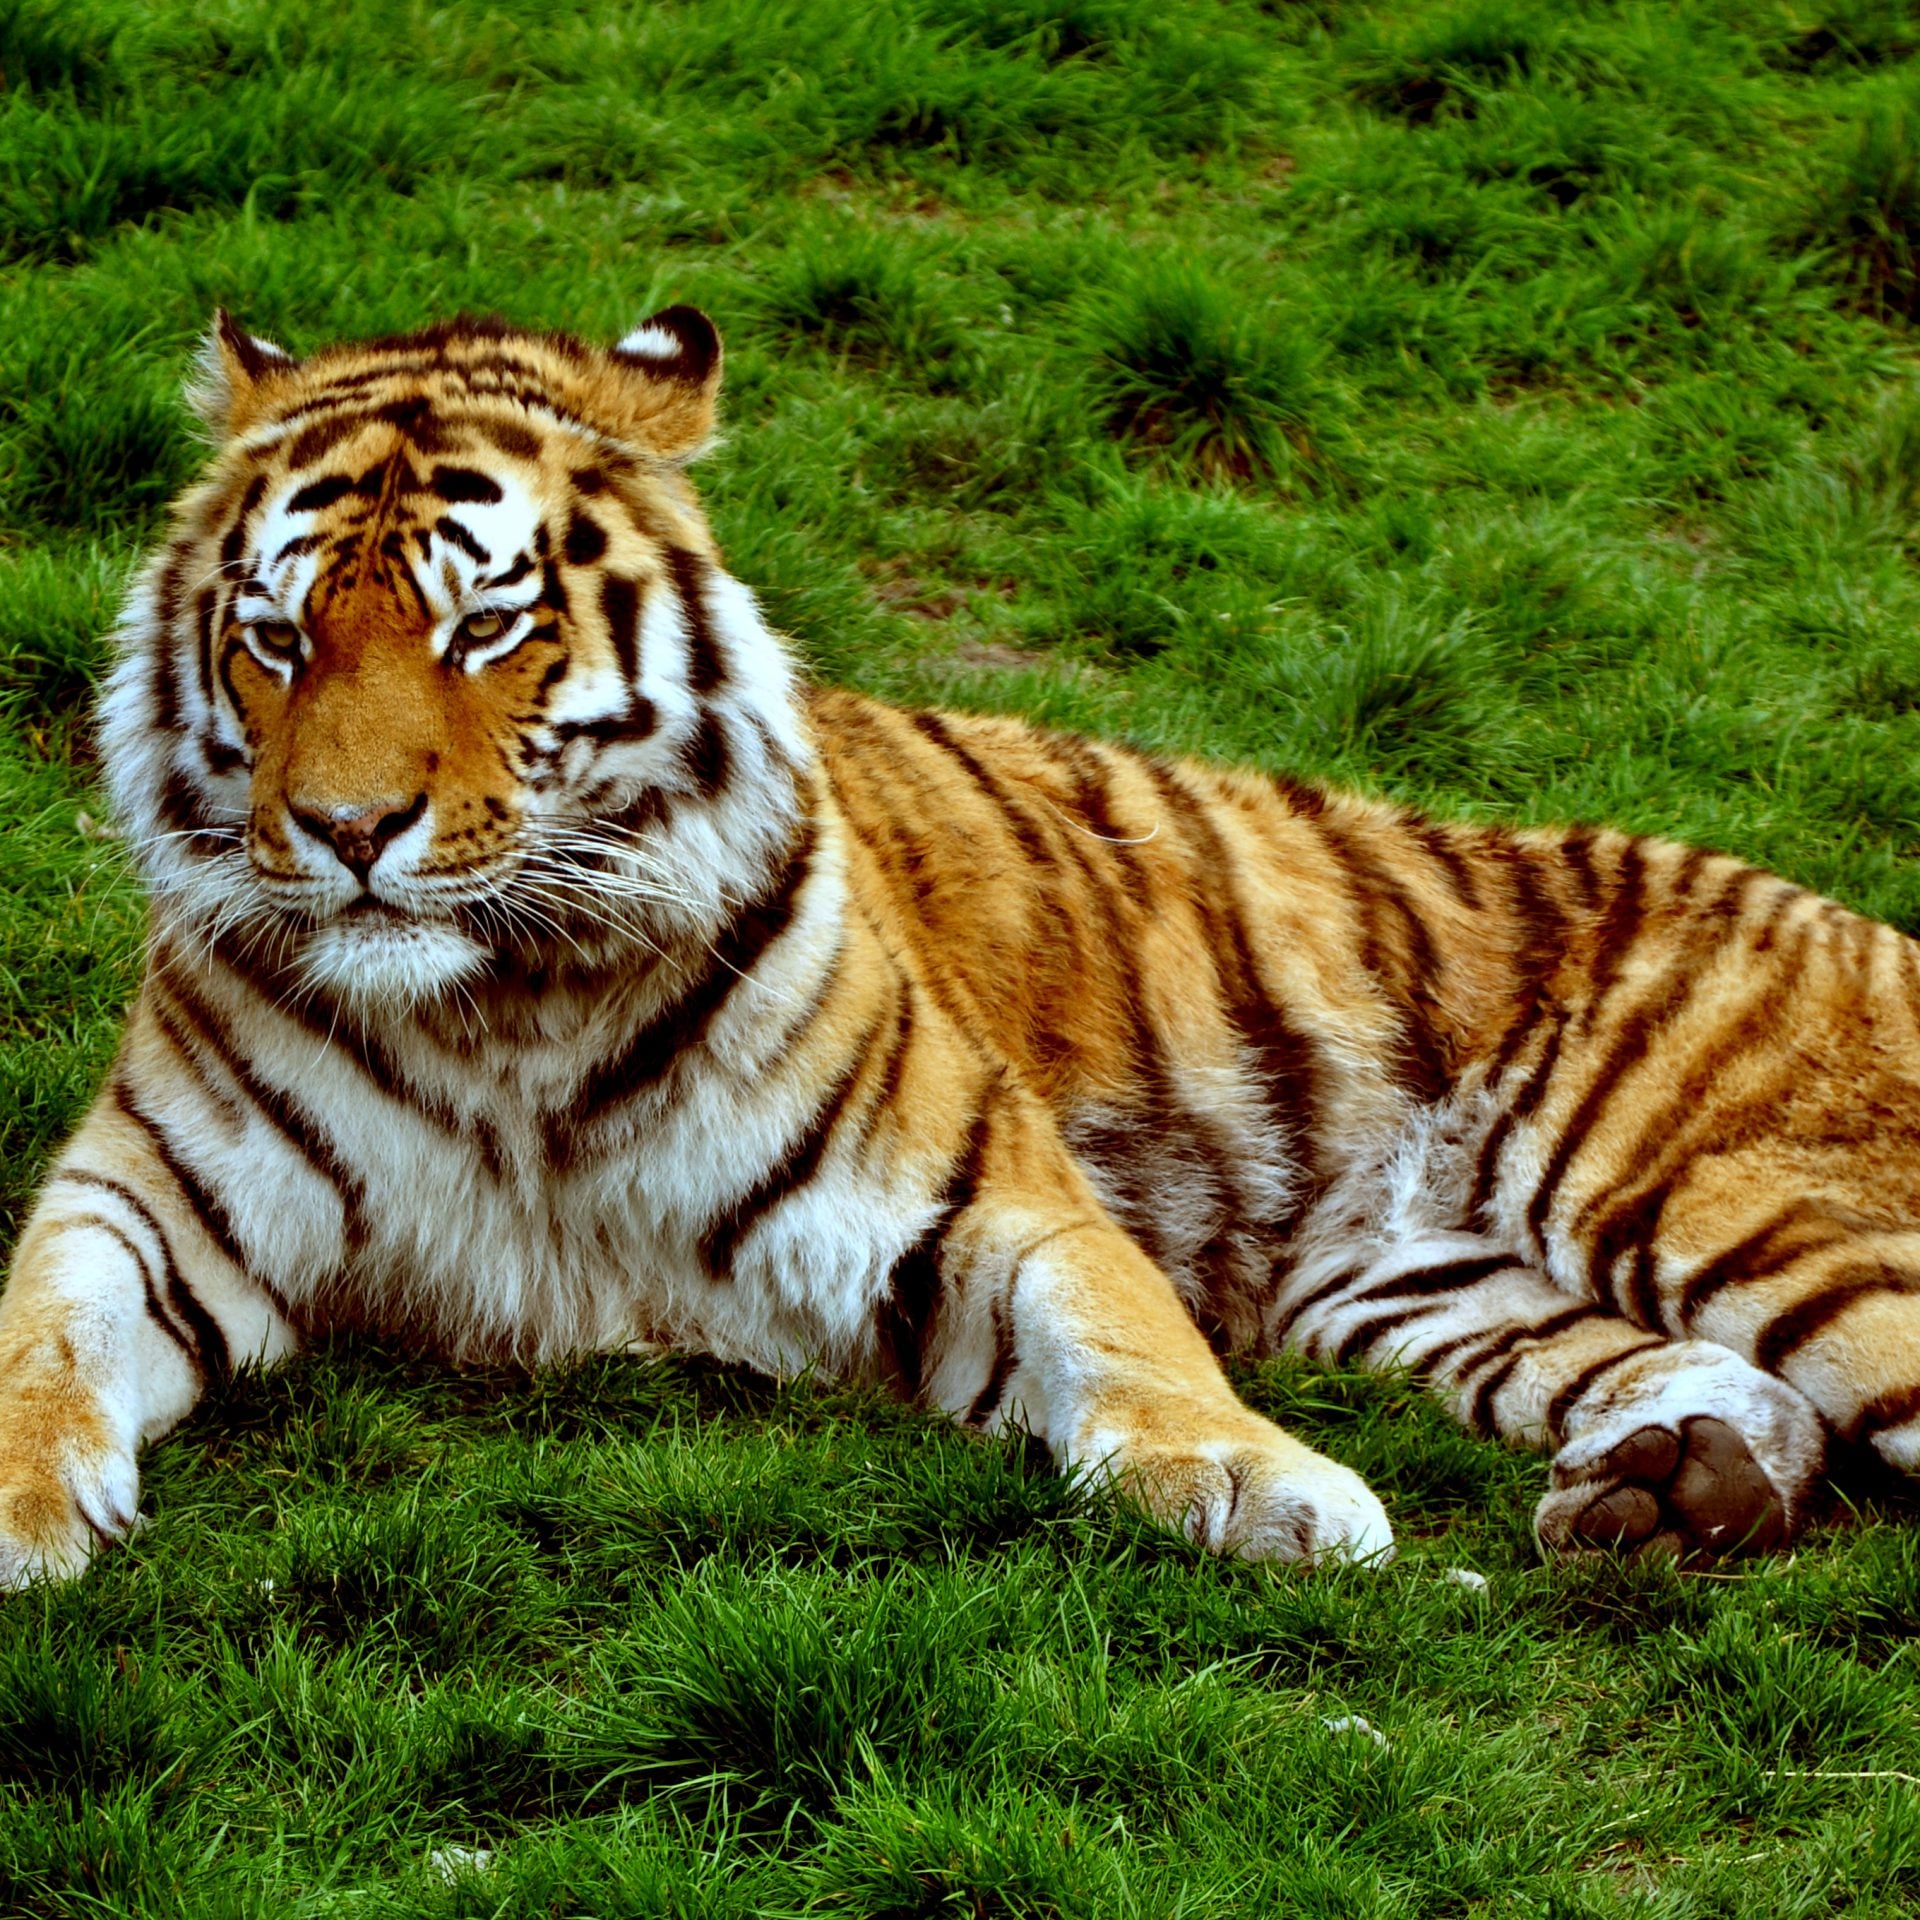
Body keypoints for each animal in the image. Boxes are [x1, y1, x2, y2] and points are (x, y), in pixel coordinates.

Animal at [4, 299, 1916, 1589]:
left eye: (484, 630)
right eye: (275, 635)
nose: (344, 833)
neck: (497, 1019)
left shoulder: (982, 1194)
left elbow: (1133, 1337)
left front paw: (1269, 1490)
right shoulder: (142, 1198)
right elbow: (39, 1341)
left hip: (1745, 1207)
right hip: (1450, 1283)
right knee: (1736, 1392)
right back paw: (1676, 1486)